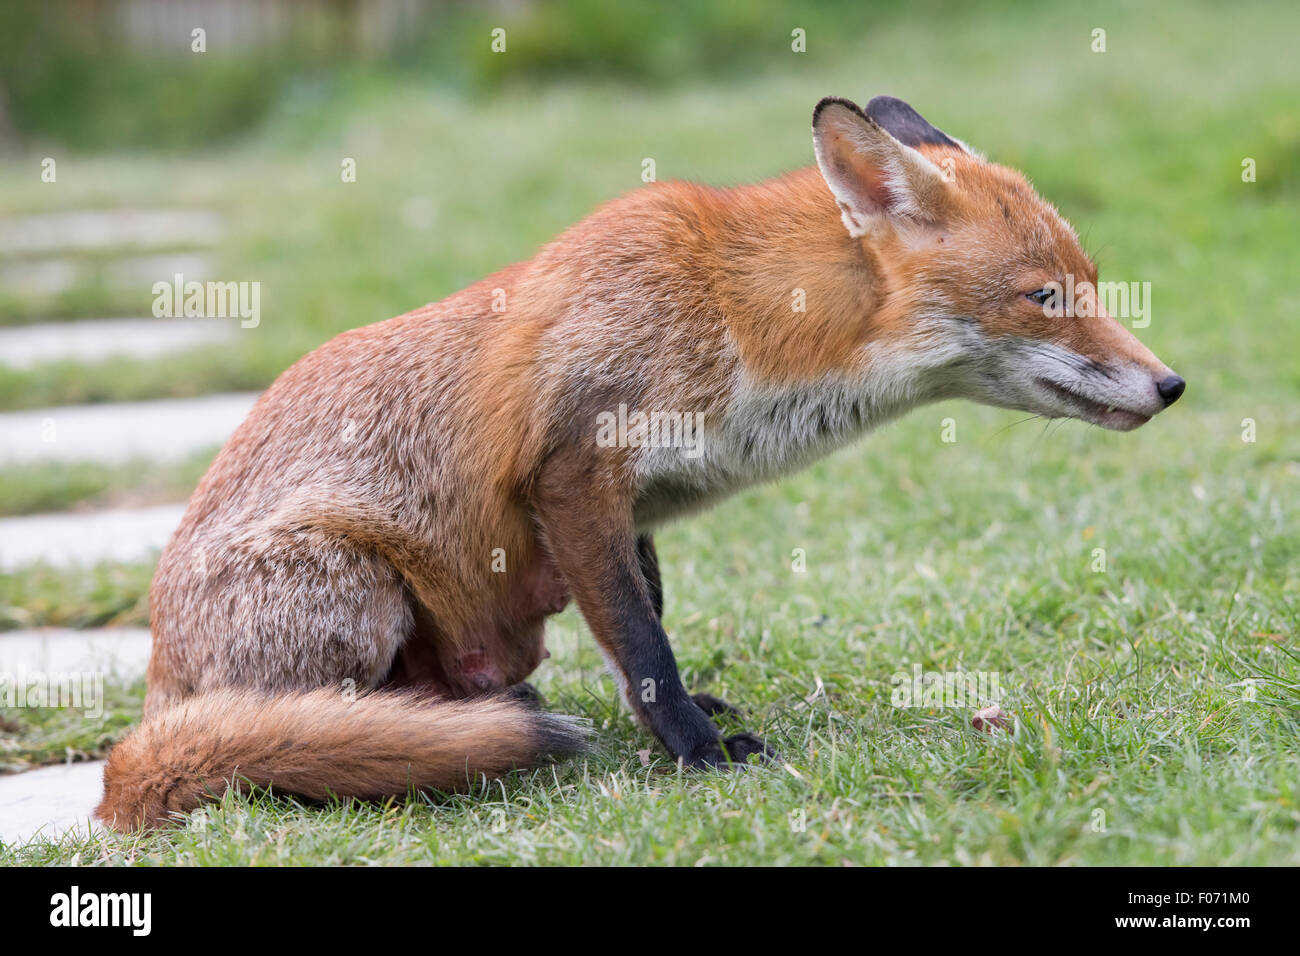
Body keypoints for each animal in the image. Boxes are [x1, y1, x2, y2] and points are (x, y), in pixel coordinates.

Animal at [96, 95, 1184, 830]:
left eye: (1089, 283)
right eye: (1044, 297)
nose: (1171, 383)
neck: (743, 332)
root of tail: (155, 685)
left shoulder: (640, 507)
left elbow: (645, 626)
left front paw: (686, 716)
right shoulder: (574, 472)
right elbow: (640, 643)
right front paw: (698, 753)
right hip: (355, 584)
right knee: (289, 735)